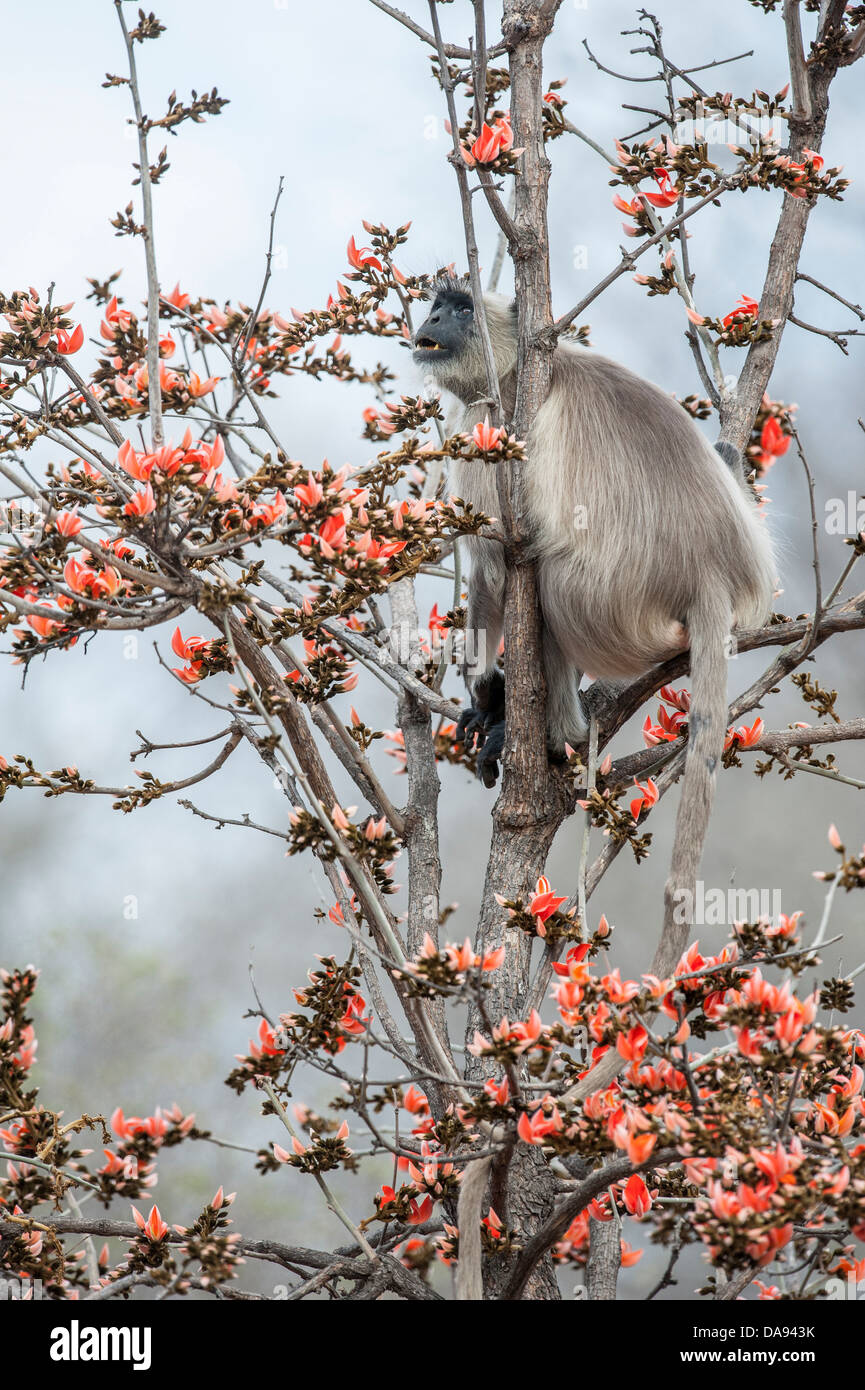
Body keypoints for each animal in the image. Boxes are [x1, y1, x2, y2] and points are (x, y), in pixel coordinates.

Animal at [413, 273, 775, 952]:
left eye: (462, 308)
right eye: (437, 305)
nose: (435, 317)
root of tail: (712, 569)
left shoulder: (488, 426)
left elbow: (496, 566)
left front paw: (487, 702)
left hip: (605, 604)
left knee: (543, 575)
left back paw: (557, 735)